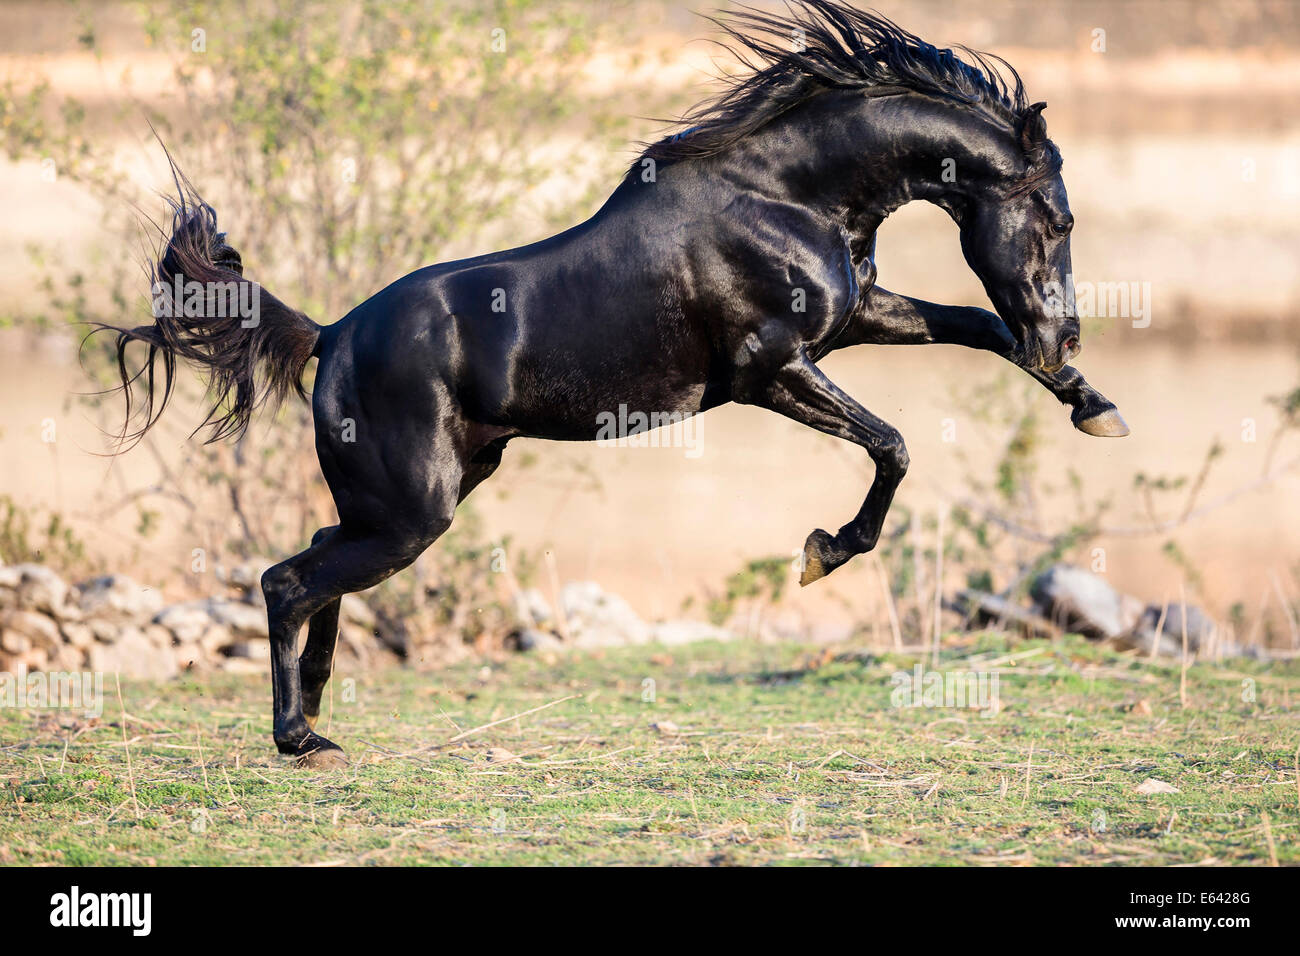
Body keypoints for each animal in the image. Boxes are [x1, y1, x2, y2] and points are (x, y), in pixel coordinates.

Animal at [103, 1, 1129, 767]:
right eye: (1058, 217)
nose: (1064, 331)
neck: (785, 196)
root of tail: (330, 337)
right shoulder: (774, 371)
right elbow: (894, 446)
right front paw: (823, 551)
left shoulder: (857, 319)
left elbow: (977, 331)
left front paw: (1094, 406)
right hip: (411, 513)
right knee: (286, 581)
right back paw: (297, 738)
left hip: (410, 500)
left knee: (317, 567)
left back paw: (318, 715)